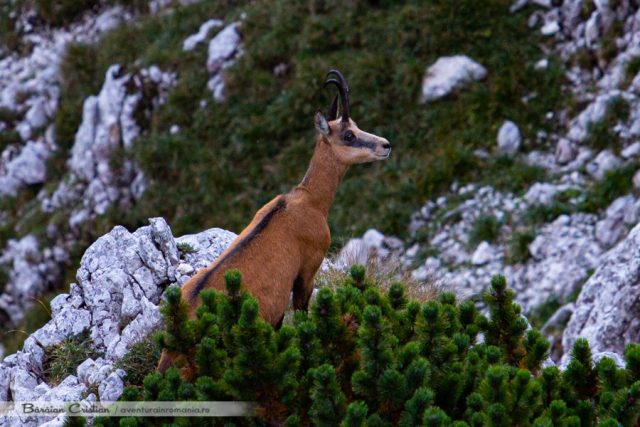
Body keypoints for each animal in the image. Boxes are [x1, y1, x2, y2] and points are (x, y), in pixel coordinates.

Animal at [157, 69, 391, 374]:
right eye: (349, 135)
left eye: (357, 127)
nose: (386, 145)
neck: (309, 201)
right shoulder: (307, 270)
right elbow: (302, 313)